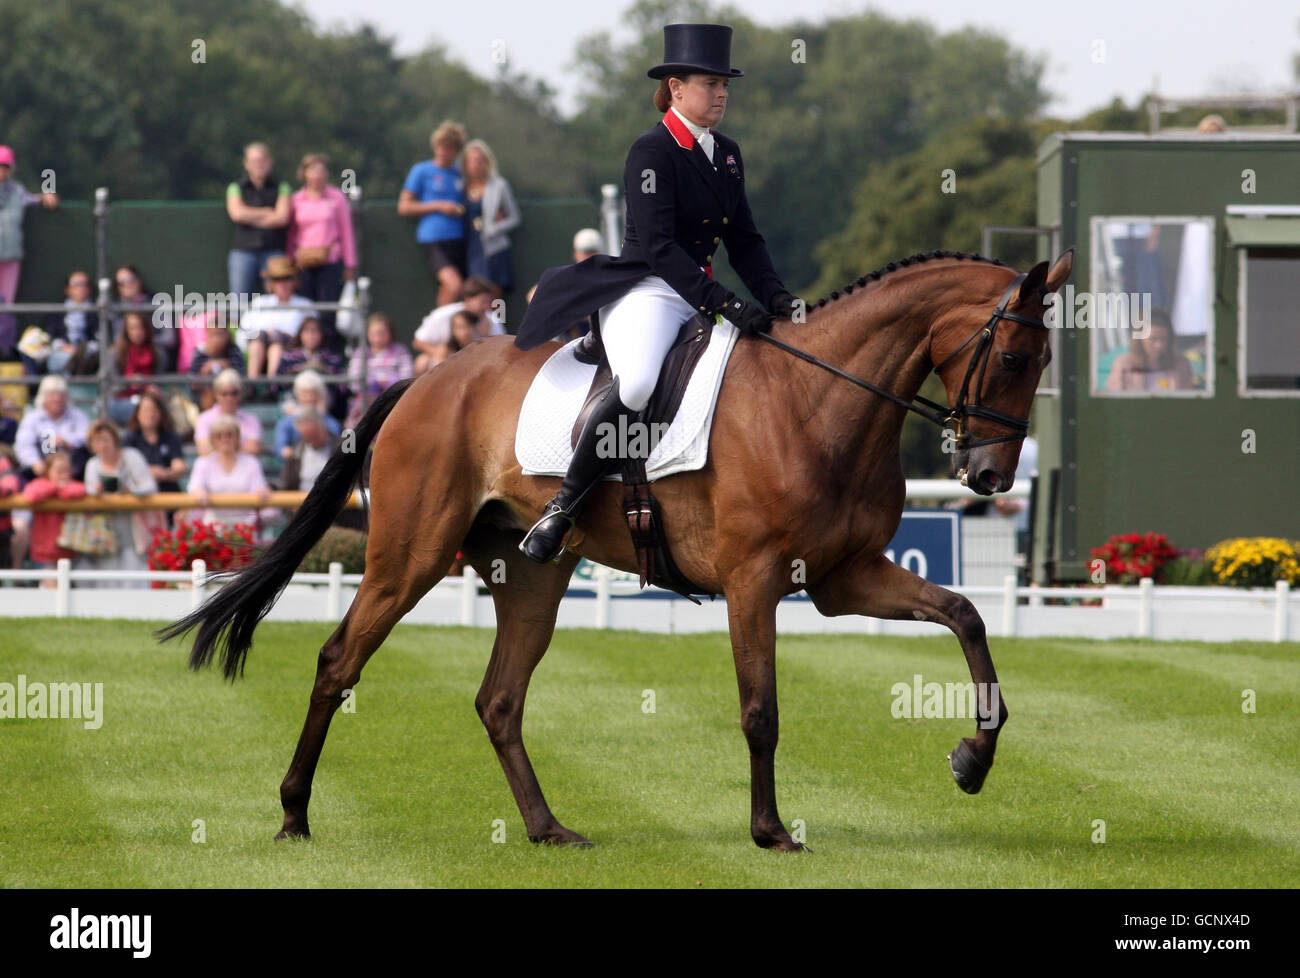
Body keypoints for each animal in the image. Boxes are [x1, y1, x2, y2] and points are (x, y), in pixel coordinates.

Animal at [160, 248, 1073, 851]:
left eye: (1044, 360)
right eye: (1014, 355)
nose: (990, 475)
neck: (819, 399)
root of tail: (423, 380)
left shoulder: (843, 580)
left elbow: (965, 616)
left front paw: (973, 760)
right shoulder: (755, 581)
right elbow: (761, 710)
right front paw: (769, 831)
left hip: (530, 574)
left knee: (499, 699)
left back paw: (546, 828)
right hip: (409, 558)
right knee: (339, 660)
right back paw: (293, 812)